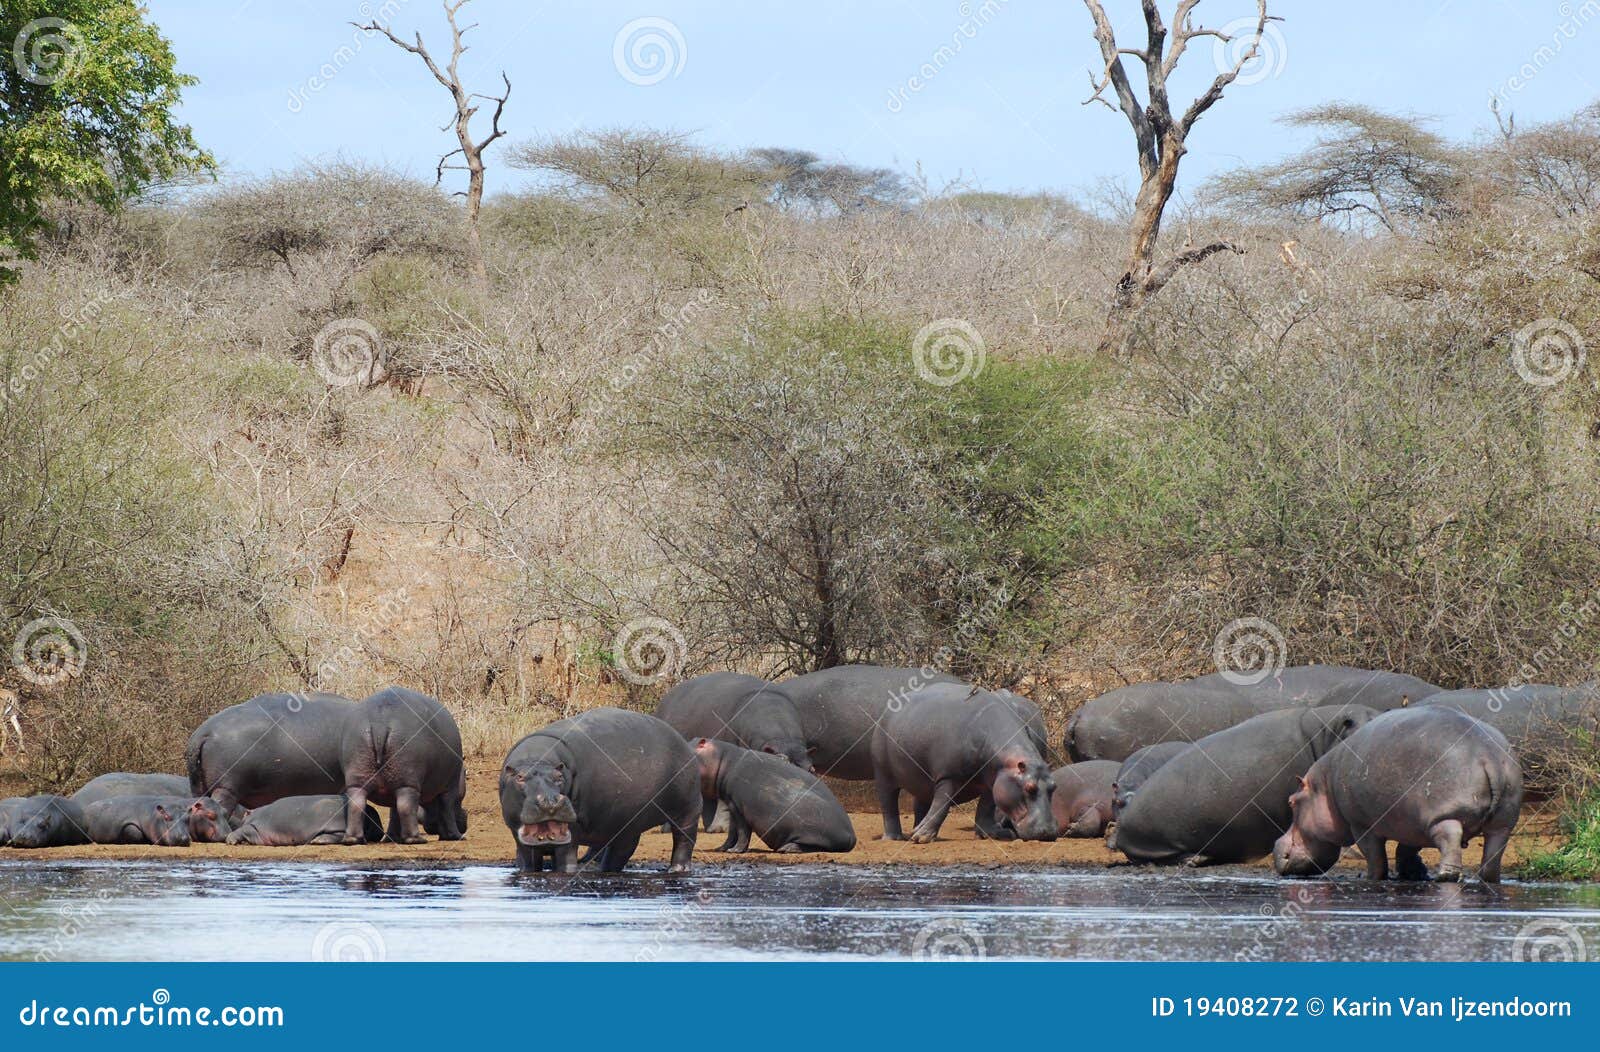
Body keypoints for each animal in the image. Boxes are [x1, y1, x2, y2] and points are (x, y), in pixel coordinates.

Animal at [340, 686, 466, 844]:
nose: (464, 824)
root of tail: (380, 723)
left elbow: (393, 813)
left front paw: (392, 838)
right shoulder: (450, 787)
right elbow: (447, 809)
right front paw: (456, 837)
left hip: (360, 776)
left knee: (356, 804)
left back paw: (353, 839)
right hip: (407, 782)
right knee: (406, 806)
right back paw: (416, 839)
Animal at [500, 707, 700, 873]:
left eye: (559, 776)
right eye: (519, 777)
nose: (550, 801)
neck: (537, 758)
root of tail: (684, 742)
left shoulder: (573, 832)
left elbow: (566, 860)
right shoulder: (520, 840)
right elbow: (527, 863)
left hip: (688, 808)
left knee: (684, 839)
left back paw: (676, 870)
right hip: (627, 822)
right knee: (622, 850)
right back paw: (606, 871)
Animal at [692, 738, 856, 853]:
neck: (723, 759)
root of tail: (852, 837)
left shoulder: (740, 809)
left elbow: (742, 831)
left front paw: (736, 851)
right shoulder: (732, 804)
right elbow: (732, 832)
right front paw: (722, 849)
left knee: (812, 846)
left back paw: (788, 848)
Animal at [871, 689, 1057, 843]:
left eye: (1053, 787)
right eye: (1029, 788)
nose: (1049, 832)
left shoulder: (994, 779)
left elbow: (986, 807)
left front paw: (995, 834)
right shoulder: (948, 776)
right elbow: (941, 805)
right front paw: (921, 838)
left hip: (922, 781)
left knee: (921, 803)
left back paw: (916, 829)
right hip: (883, 774)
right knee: (889, 804)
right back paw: (894, 838)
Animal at [1274, 707, 1523, 882]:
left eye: (1291, 802)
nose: (1276, 845)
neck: (1326, 786)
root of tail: (1488, 756)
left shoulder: (1362, 826)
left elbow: (1375, 856)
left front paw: (1372, 878)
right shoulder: (1411, 823)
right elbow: (1406, 849)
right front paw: (1413, 874)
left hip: (1445, 815)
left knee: (1449, 838)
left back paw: (1446, 876)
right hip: (1503, 821)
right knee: (1494, 852)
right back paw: (1488, 879)